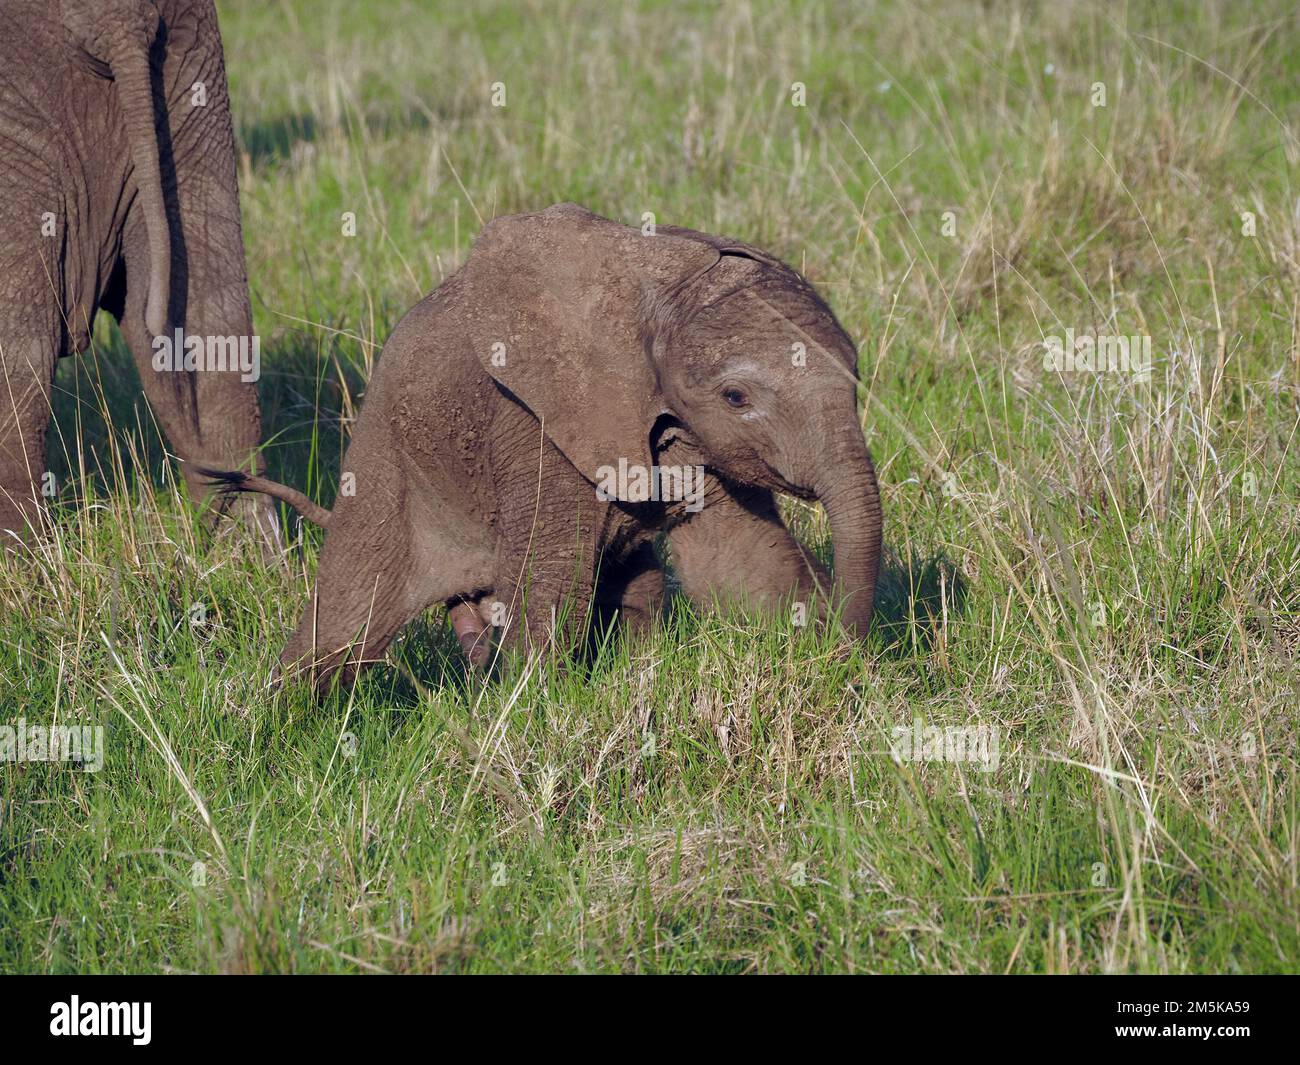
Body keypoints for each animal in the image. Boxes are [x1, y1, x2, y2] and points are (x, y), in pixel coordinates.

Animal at [206, 203, 883, 691]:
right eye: (736, 396)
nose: (846, 654)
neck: (661, 294)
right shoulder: (534, 419)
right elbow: (549, 578)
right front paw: (538, 705)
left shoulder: (687, 438)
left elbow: (741, 563)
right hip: (386, 459)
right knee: (347, 618)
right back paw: (285, 717)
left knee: (635, 588)